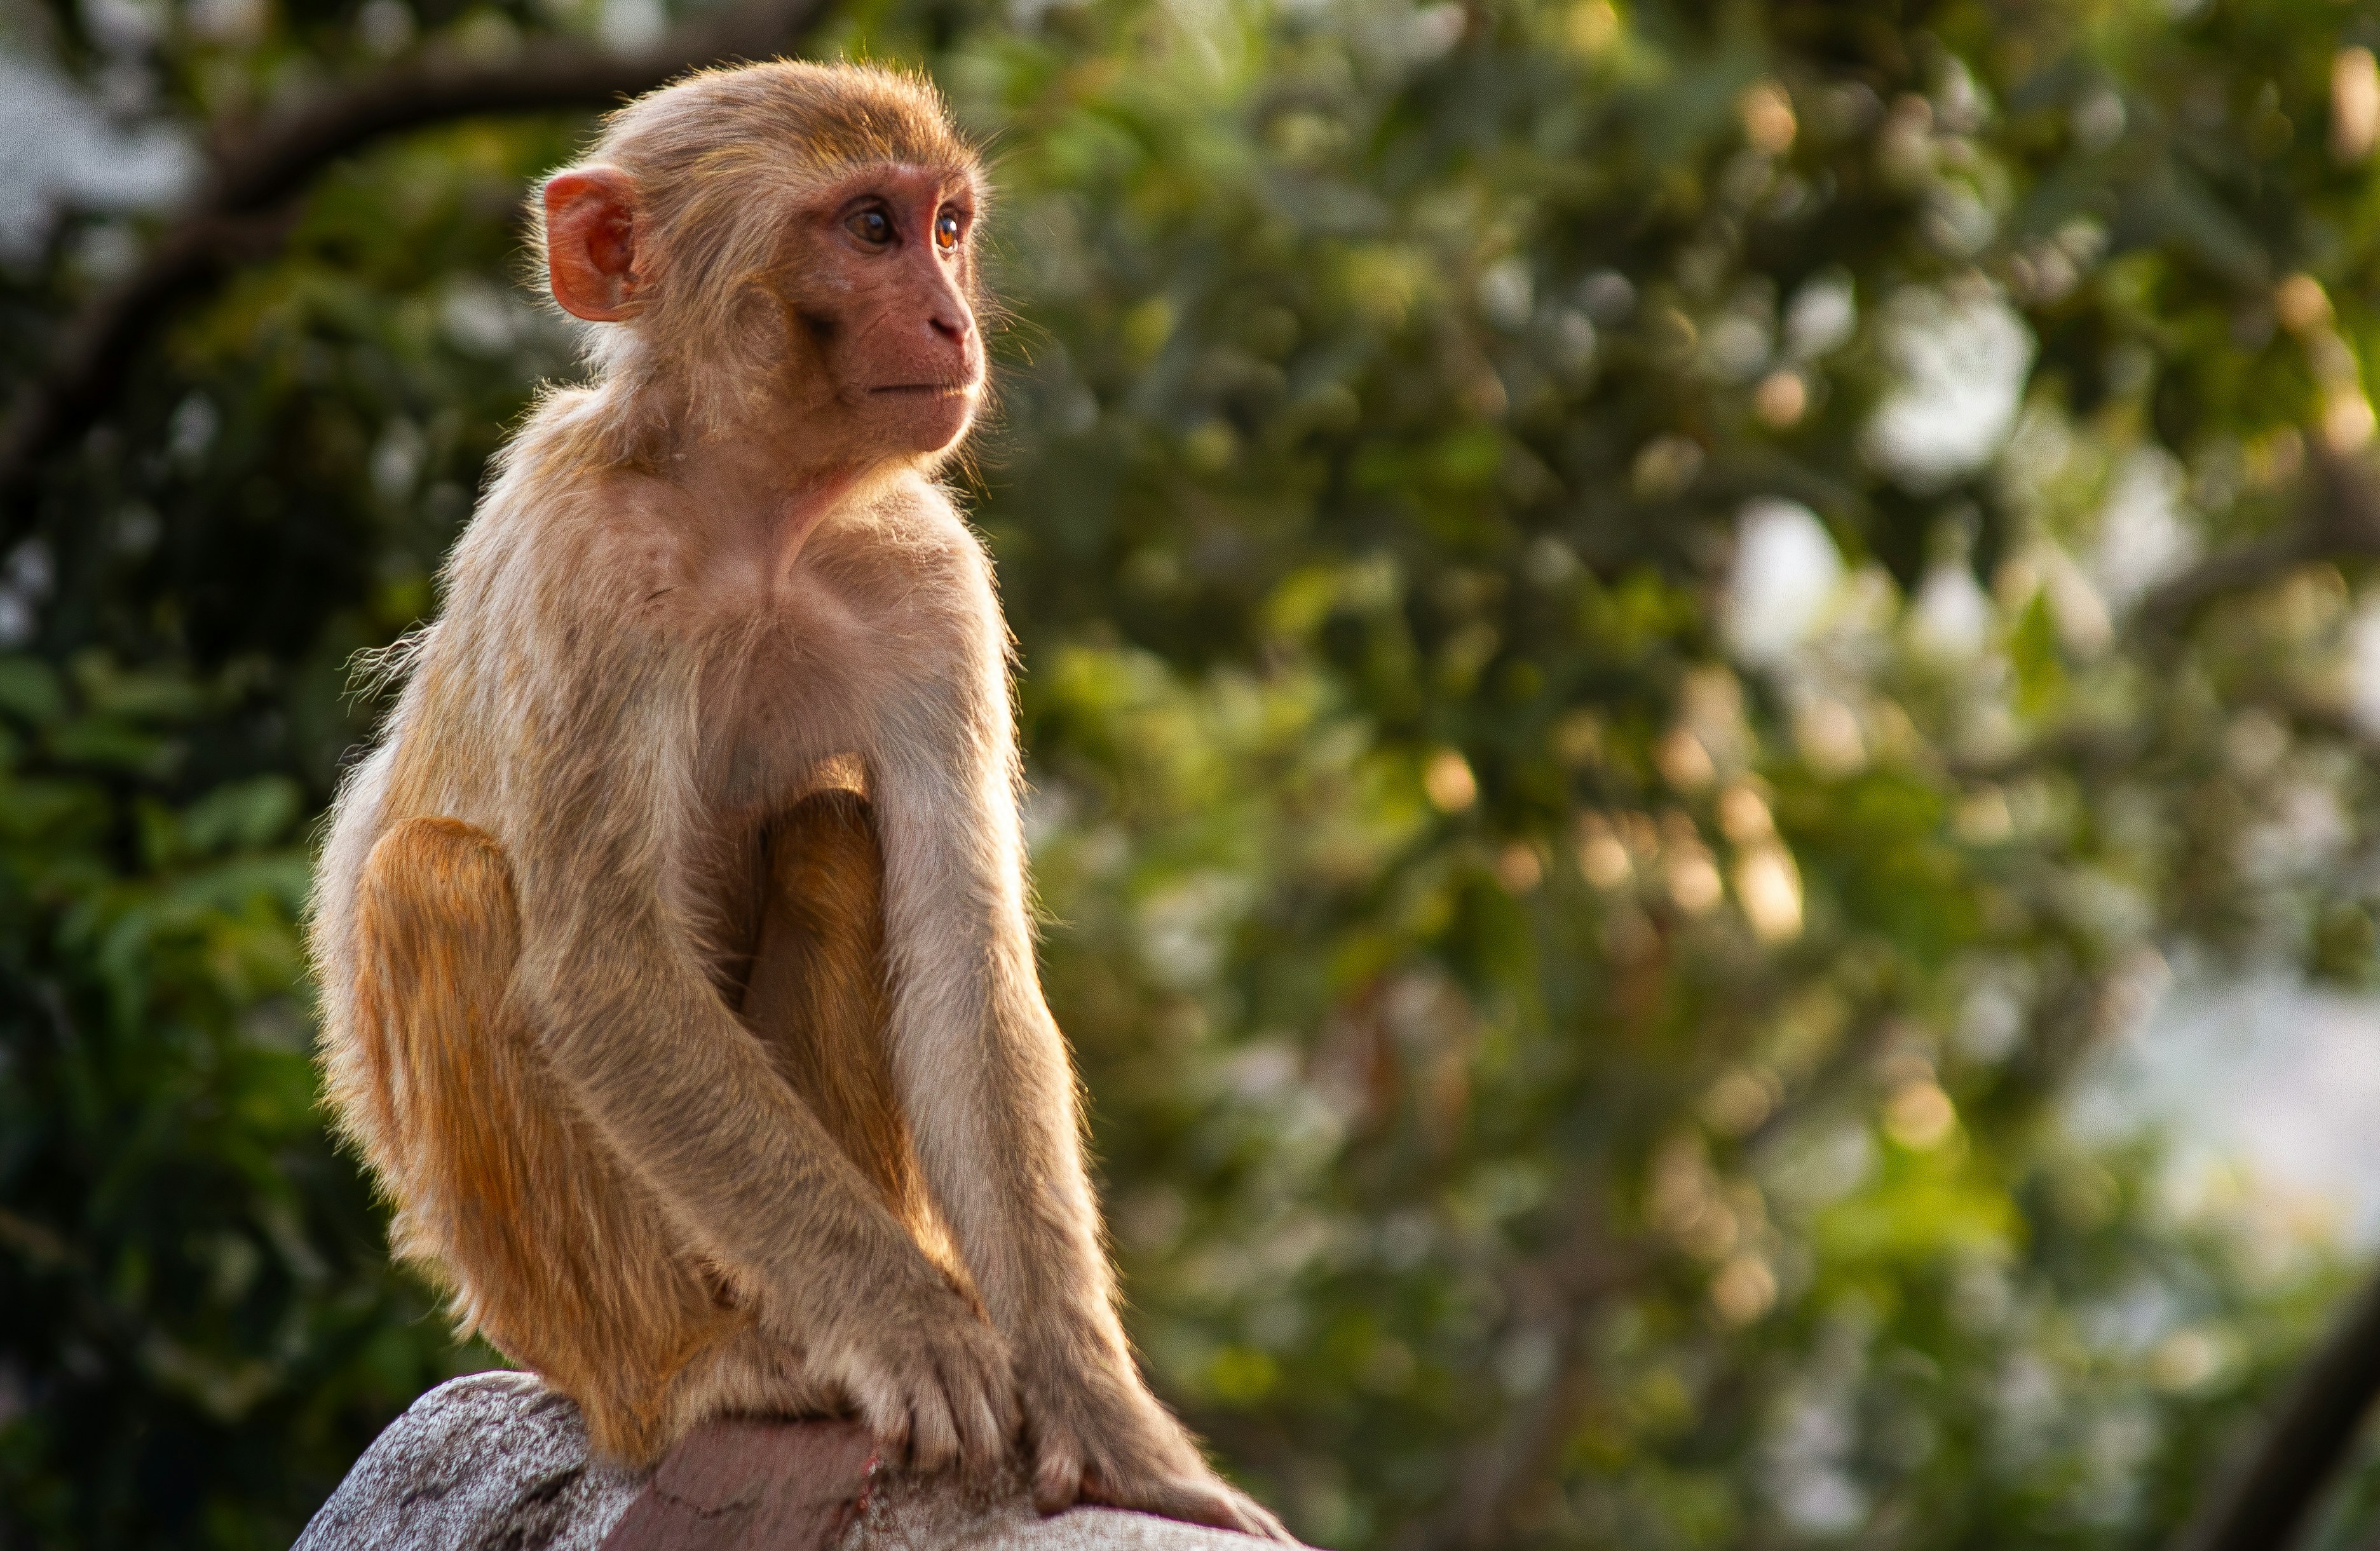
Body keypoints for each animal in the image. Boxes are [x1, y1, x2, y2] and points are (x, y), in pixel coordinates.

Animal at [304, 60, 1290, 1542]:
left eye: (947, 227)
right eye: (869, 227)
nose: (950, 317)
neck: (752, 518)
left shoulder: (929, 577)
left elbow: (962, 965)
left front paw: (1112, 1423)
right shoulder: (587, 563)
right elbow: (602, 972)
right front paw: (908, 1324)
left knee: (833, 835)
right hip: (547, 1299)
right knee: (438, 879)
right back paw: (691, 1371)